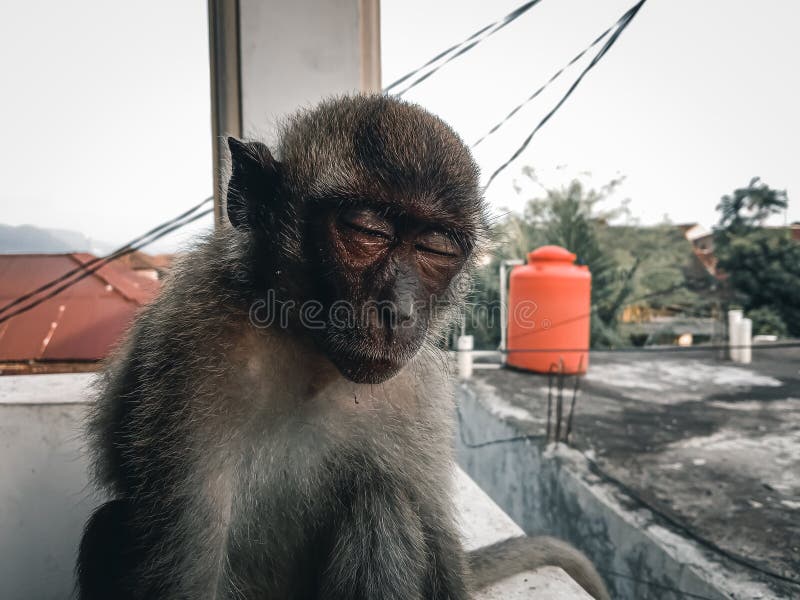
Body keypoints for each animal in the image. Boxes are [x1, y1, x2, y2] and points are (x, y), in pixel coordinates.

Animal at [76, 94, 609, 600]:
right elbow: (188, 569)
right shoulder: (191, 349)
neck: (310, 352)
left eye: (435, 249)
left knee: (382, 501)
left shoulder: (417, 388)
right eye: (367, 231)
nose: (400, 311)